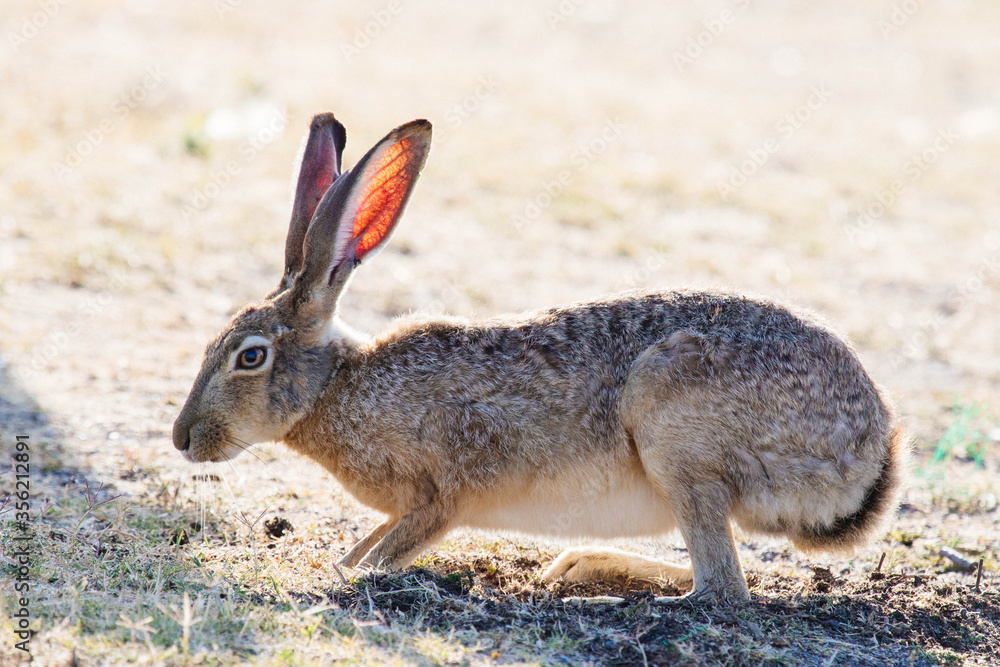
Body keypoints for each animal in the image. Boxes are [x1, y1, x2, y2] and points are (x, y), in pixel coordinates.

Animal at [172, 112, 909, 603]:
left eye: (250, 357)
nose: (182, 439)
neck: (335, 387)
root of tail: (871, 450)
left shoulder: (443, 494)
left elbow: (382, 555)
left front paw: (353, 573)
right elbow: (365, 543)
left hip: (676, 434)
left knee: (722, 589)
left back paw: (598, 591)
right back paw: (579, 567)